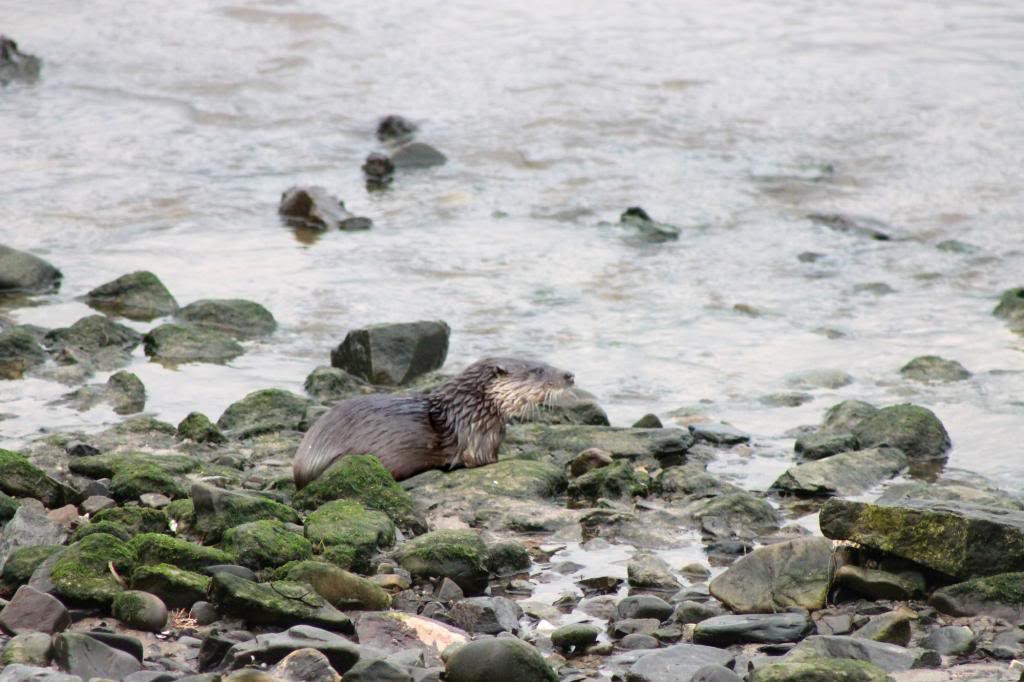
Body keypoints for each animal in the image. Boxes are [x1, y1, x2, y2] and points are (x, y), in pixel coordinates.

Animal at [293, 357, 575, 487]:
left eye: (544, 362)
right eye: (537, 370)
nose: (570, 375)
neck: (470, 411)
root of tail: (302, 466)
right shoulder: (479, 445)